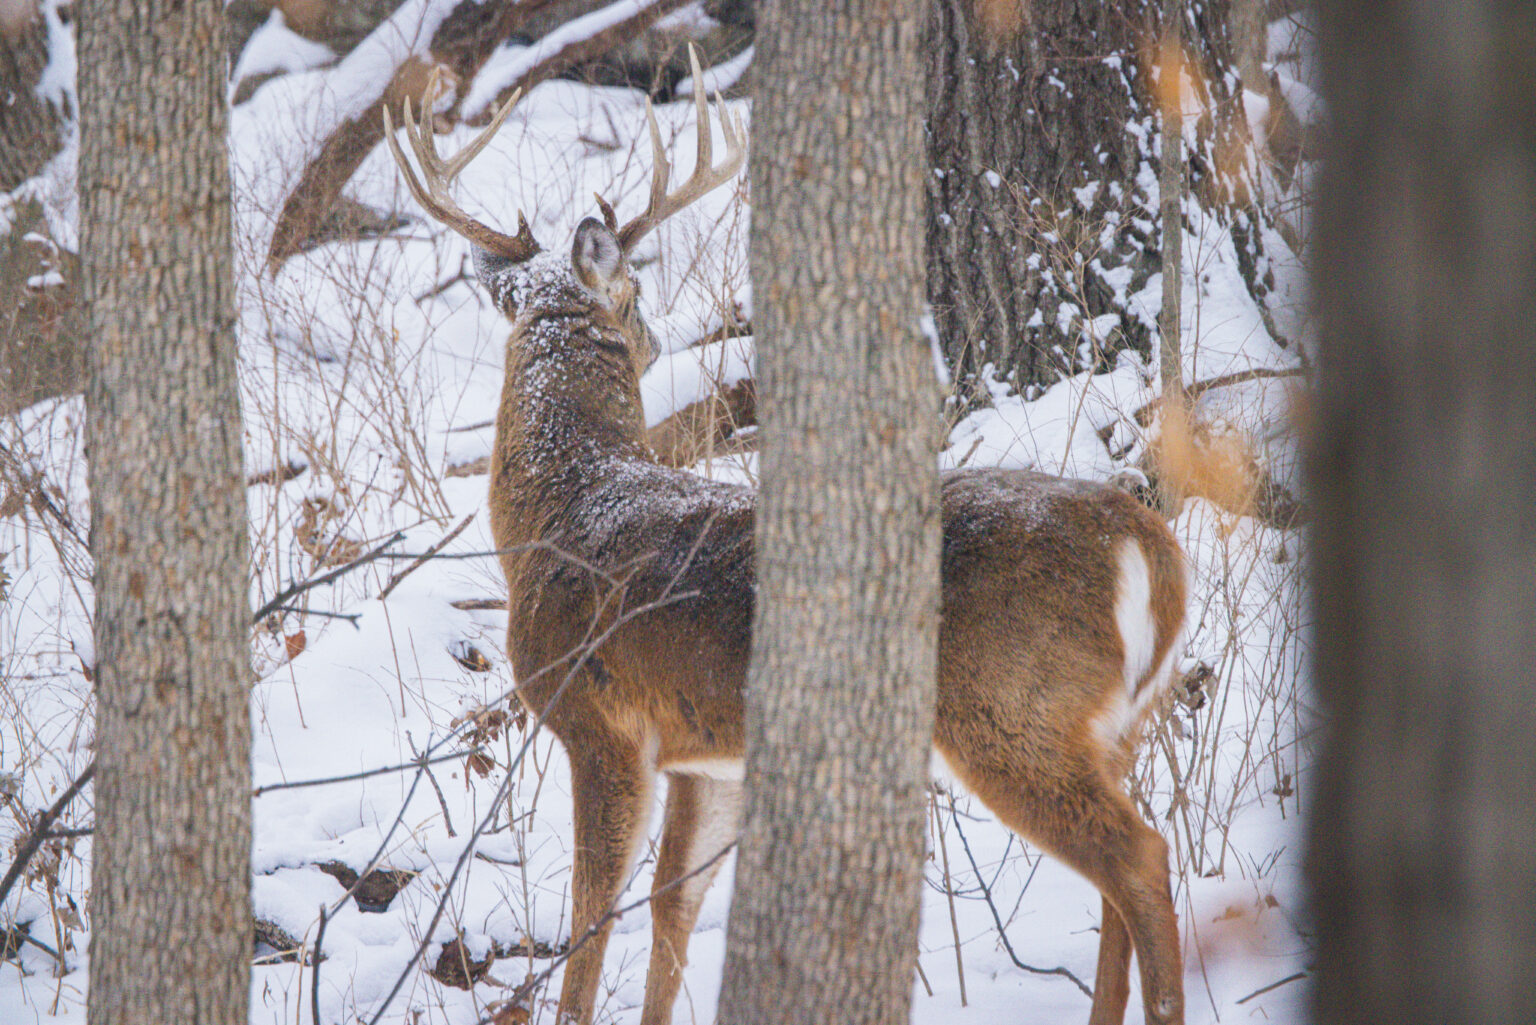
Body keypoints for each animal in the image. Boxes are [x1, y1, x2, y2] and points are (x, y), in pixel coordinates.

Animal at [384, 56, 1187, 1025]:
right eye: (640, 297)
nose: (657, 337)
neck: (560, 513)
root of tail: (1147, 544)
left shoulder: (598, 719)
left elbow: (592, 914)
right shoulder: (710, 757)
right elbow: (673, 907)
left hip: (1012, 709)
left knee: (1140, 858)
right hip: (1113, 723)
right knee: (1122, 872)